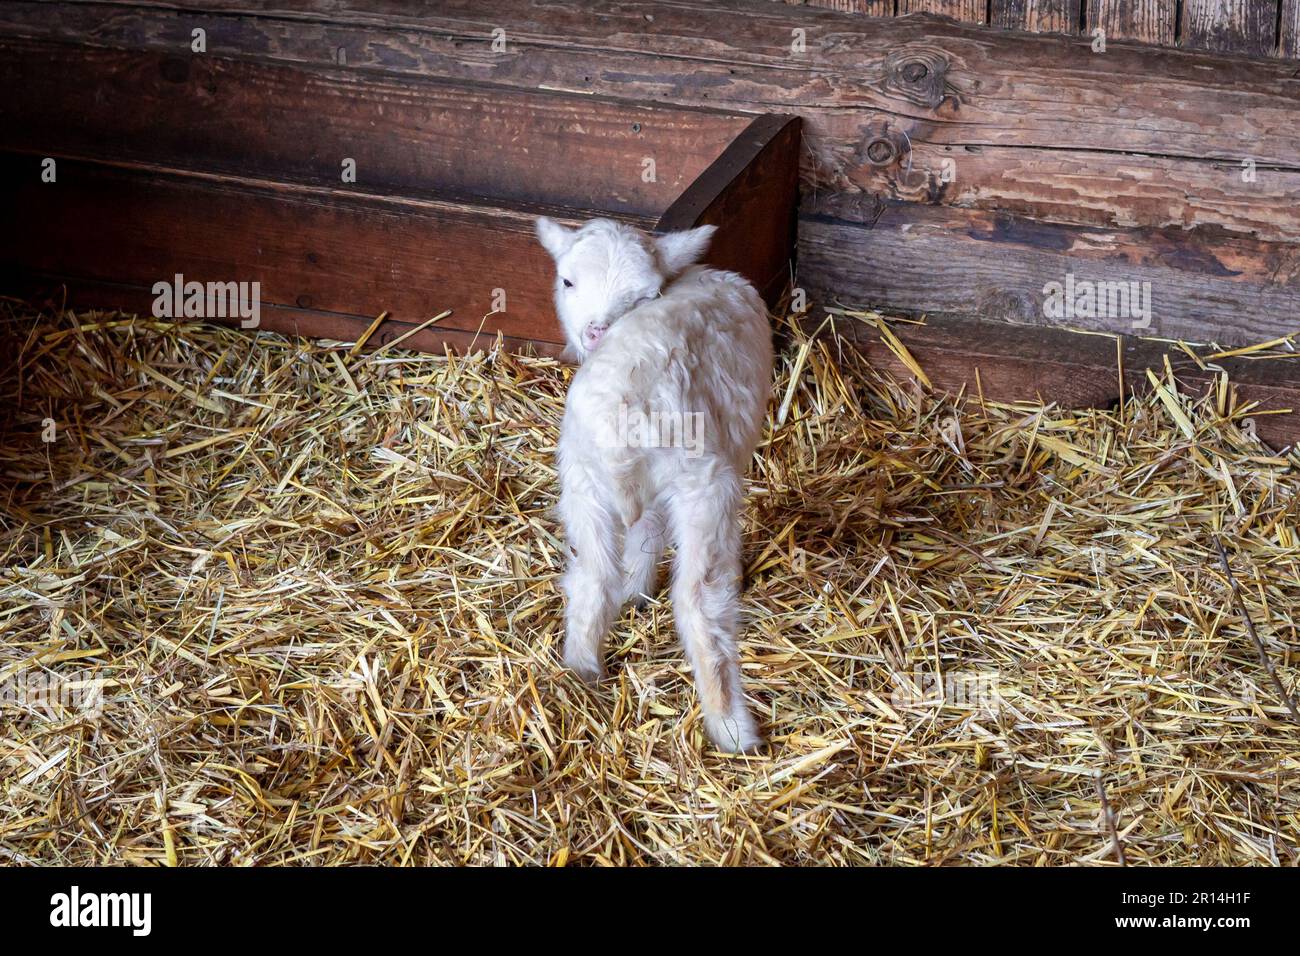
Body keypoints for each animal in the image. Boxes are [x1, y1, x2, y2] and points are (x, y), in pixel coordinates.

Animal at [535, 216, 774, 753]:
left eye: (644, 294)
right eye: (568, 281)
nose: (595, 331)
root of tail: (625, 410)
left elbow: (643, 534)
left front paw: (636, 590)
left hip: (581, 480)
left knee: (594, 574)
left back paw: (582, 669)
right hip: (702, 482)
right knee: (700, 600)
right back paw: (732, 727)